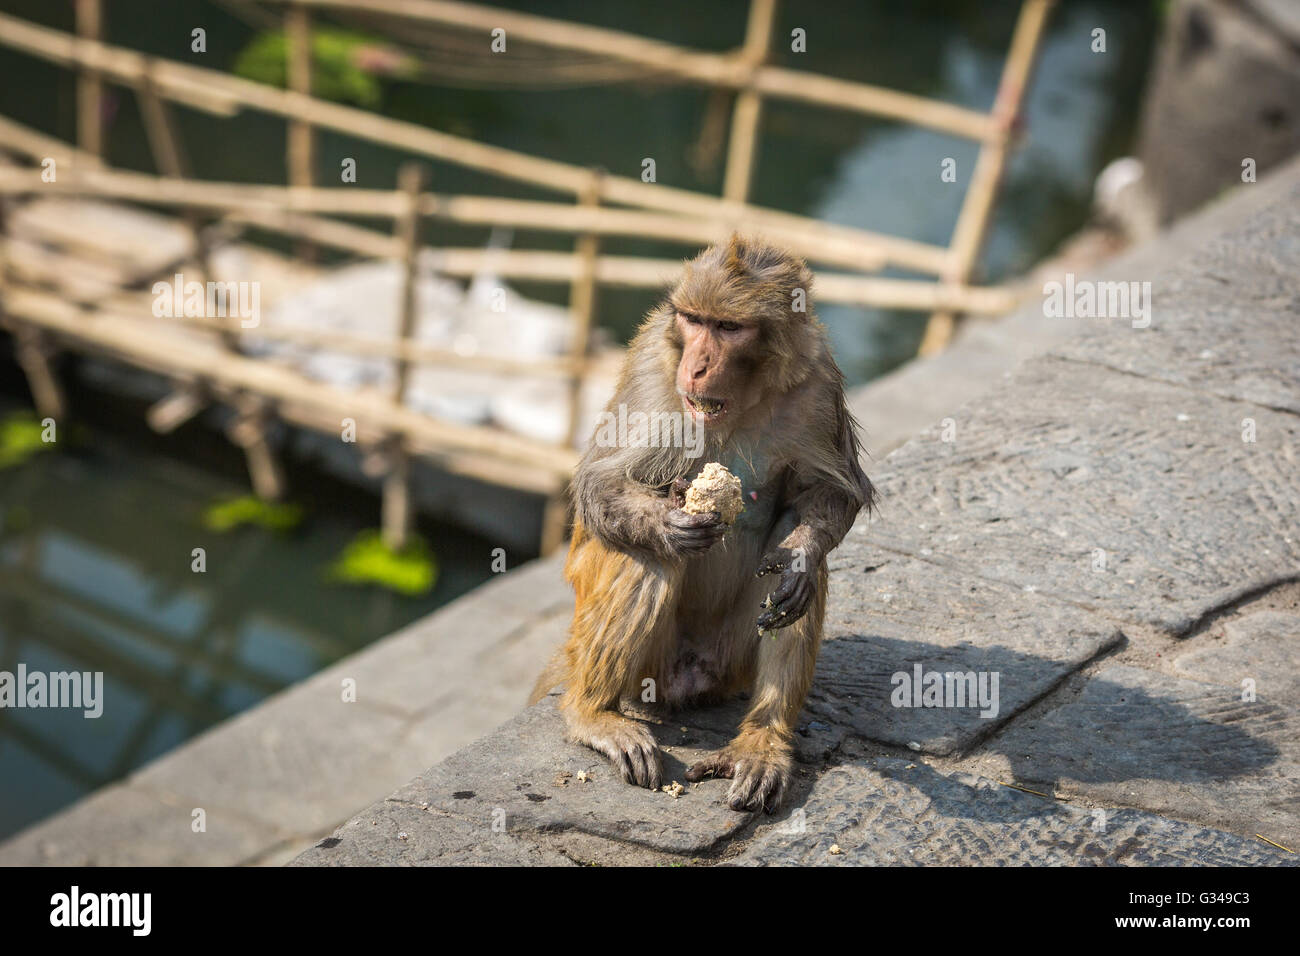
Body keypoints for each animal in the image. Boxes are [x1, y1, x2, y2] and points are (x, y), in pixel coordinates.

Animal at [529, 235, 875, 813]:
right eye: (693, 320)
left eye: (728, 327)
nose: (694, 366)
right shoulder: (652, 366)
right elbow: (599, 483)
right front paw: (667, 524)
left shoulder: (819, 382)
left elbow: (832, 495)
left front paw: (799, 559)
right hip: (643, 668)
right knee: (645, 558)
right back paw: (594, 714)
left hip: (731, 663)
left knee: (797, 582)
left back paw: (762, 741)